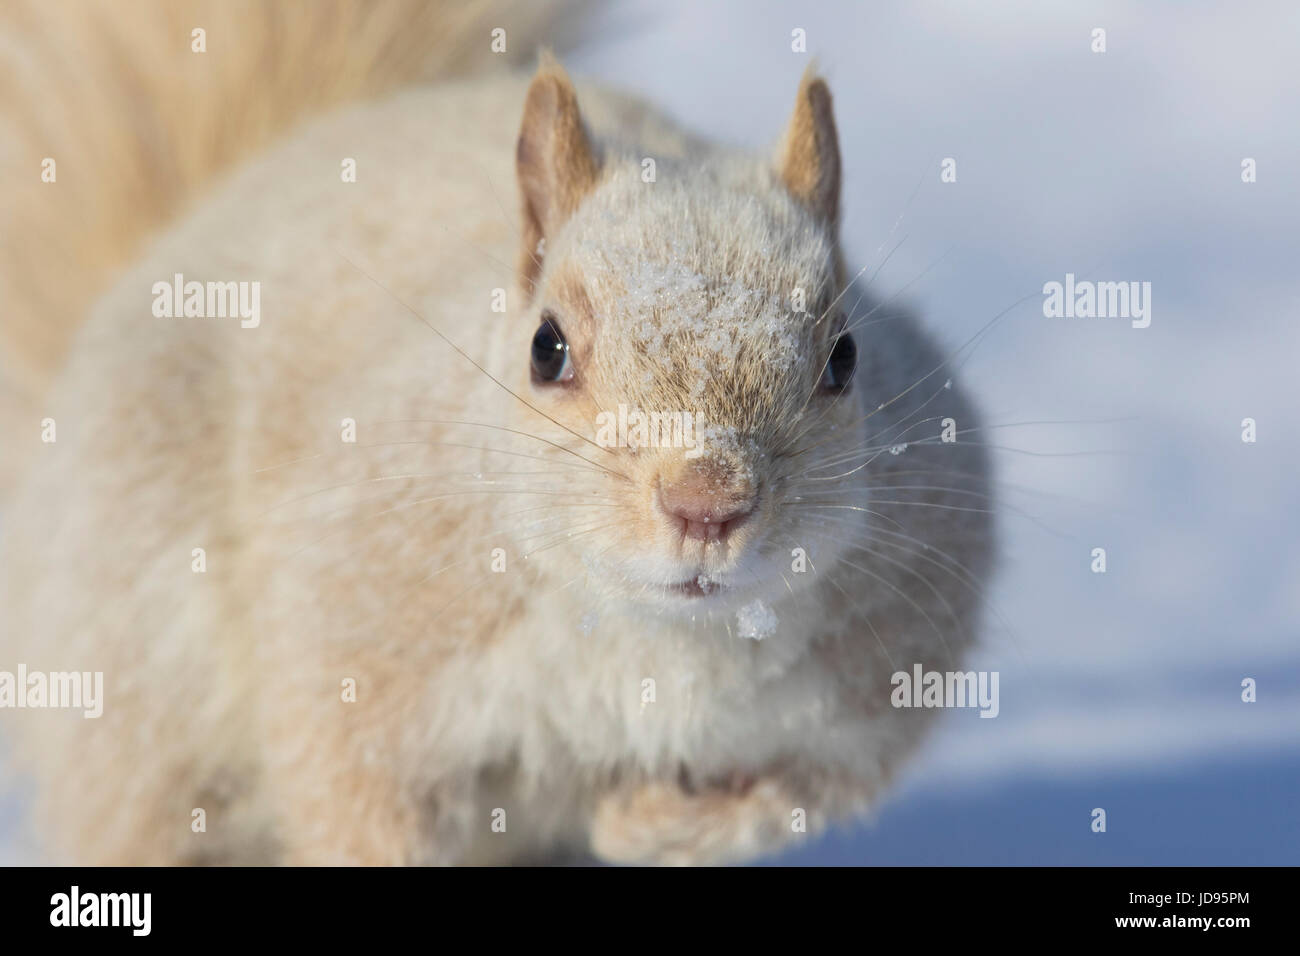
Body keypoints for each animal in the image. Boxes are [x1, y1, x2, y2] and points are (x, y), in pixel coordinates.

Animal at [0, 1, 994, 865]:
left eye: (846, 356)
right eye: (546, 348)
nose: (707, 502)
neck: (657, 635)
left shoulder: (873, 690)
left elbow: (797, 796)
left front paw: (644, 821)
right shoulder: (358, 671)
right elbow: (356, 804)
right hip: (138, 691)